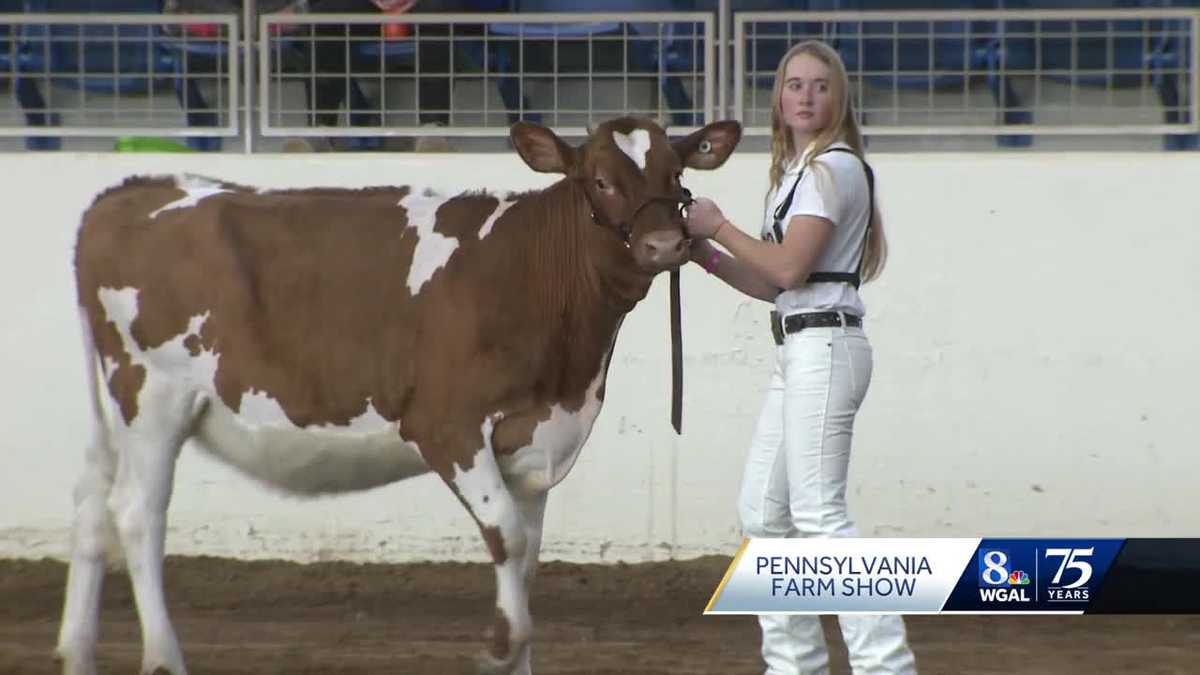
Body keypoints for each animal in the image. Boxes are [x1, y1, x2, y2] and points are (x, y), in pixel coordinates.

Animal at [57, 117, 742, 675]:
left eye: (676, 172)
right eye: (599, 179)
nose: (664, 246)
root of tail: (135, 188)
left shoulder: (534, 441)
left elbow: (526, 560)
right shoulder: (446, 426)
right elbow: (507, 538)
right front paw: (500, 647)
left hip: (116, 411)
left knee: (91, 502)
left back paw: (77, 652)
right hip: (153, 395)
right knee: (136, 513)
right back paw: (163, 658)